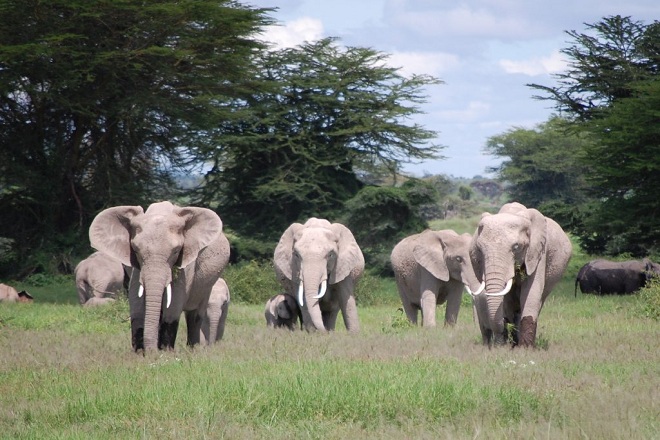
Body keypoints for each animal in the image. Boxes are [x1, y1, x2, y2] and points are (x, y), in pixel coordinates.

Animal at [89, 201, 230, 352]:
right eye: (136, 250)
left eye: (176, 251)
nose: (152, 351)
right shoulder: (137, 268)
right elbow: (136, 301)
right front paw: (140, 352)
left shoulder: (186, 264)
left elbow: (174, 303)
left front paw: (165, 352)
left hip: (207, 286)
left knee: (195, 315)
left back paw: (192, 349)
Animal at [469, 202, 572, 348]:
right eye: (479, 249)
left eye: (516, 247)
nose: (500, 341)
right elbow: (507, 301)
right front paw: (508, 346)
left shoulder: (537, 252)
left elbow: (531, 292)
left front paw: (525, 349)